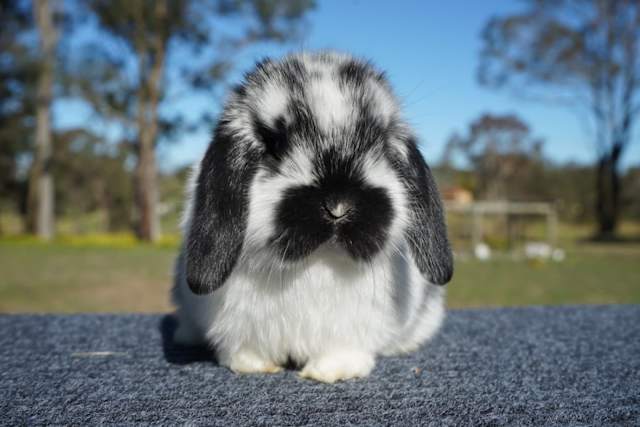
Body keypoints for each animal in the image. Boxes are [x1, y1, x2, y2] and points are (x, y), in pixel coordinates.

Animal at [172, 51, 453, 383]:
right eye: (273, 145)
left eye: (381, 144)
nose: (338, 207)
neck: (318, 261)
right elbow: (245, 349)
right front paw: (253, 365)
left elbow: (342, 350)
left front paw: (331, 372)